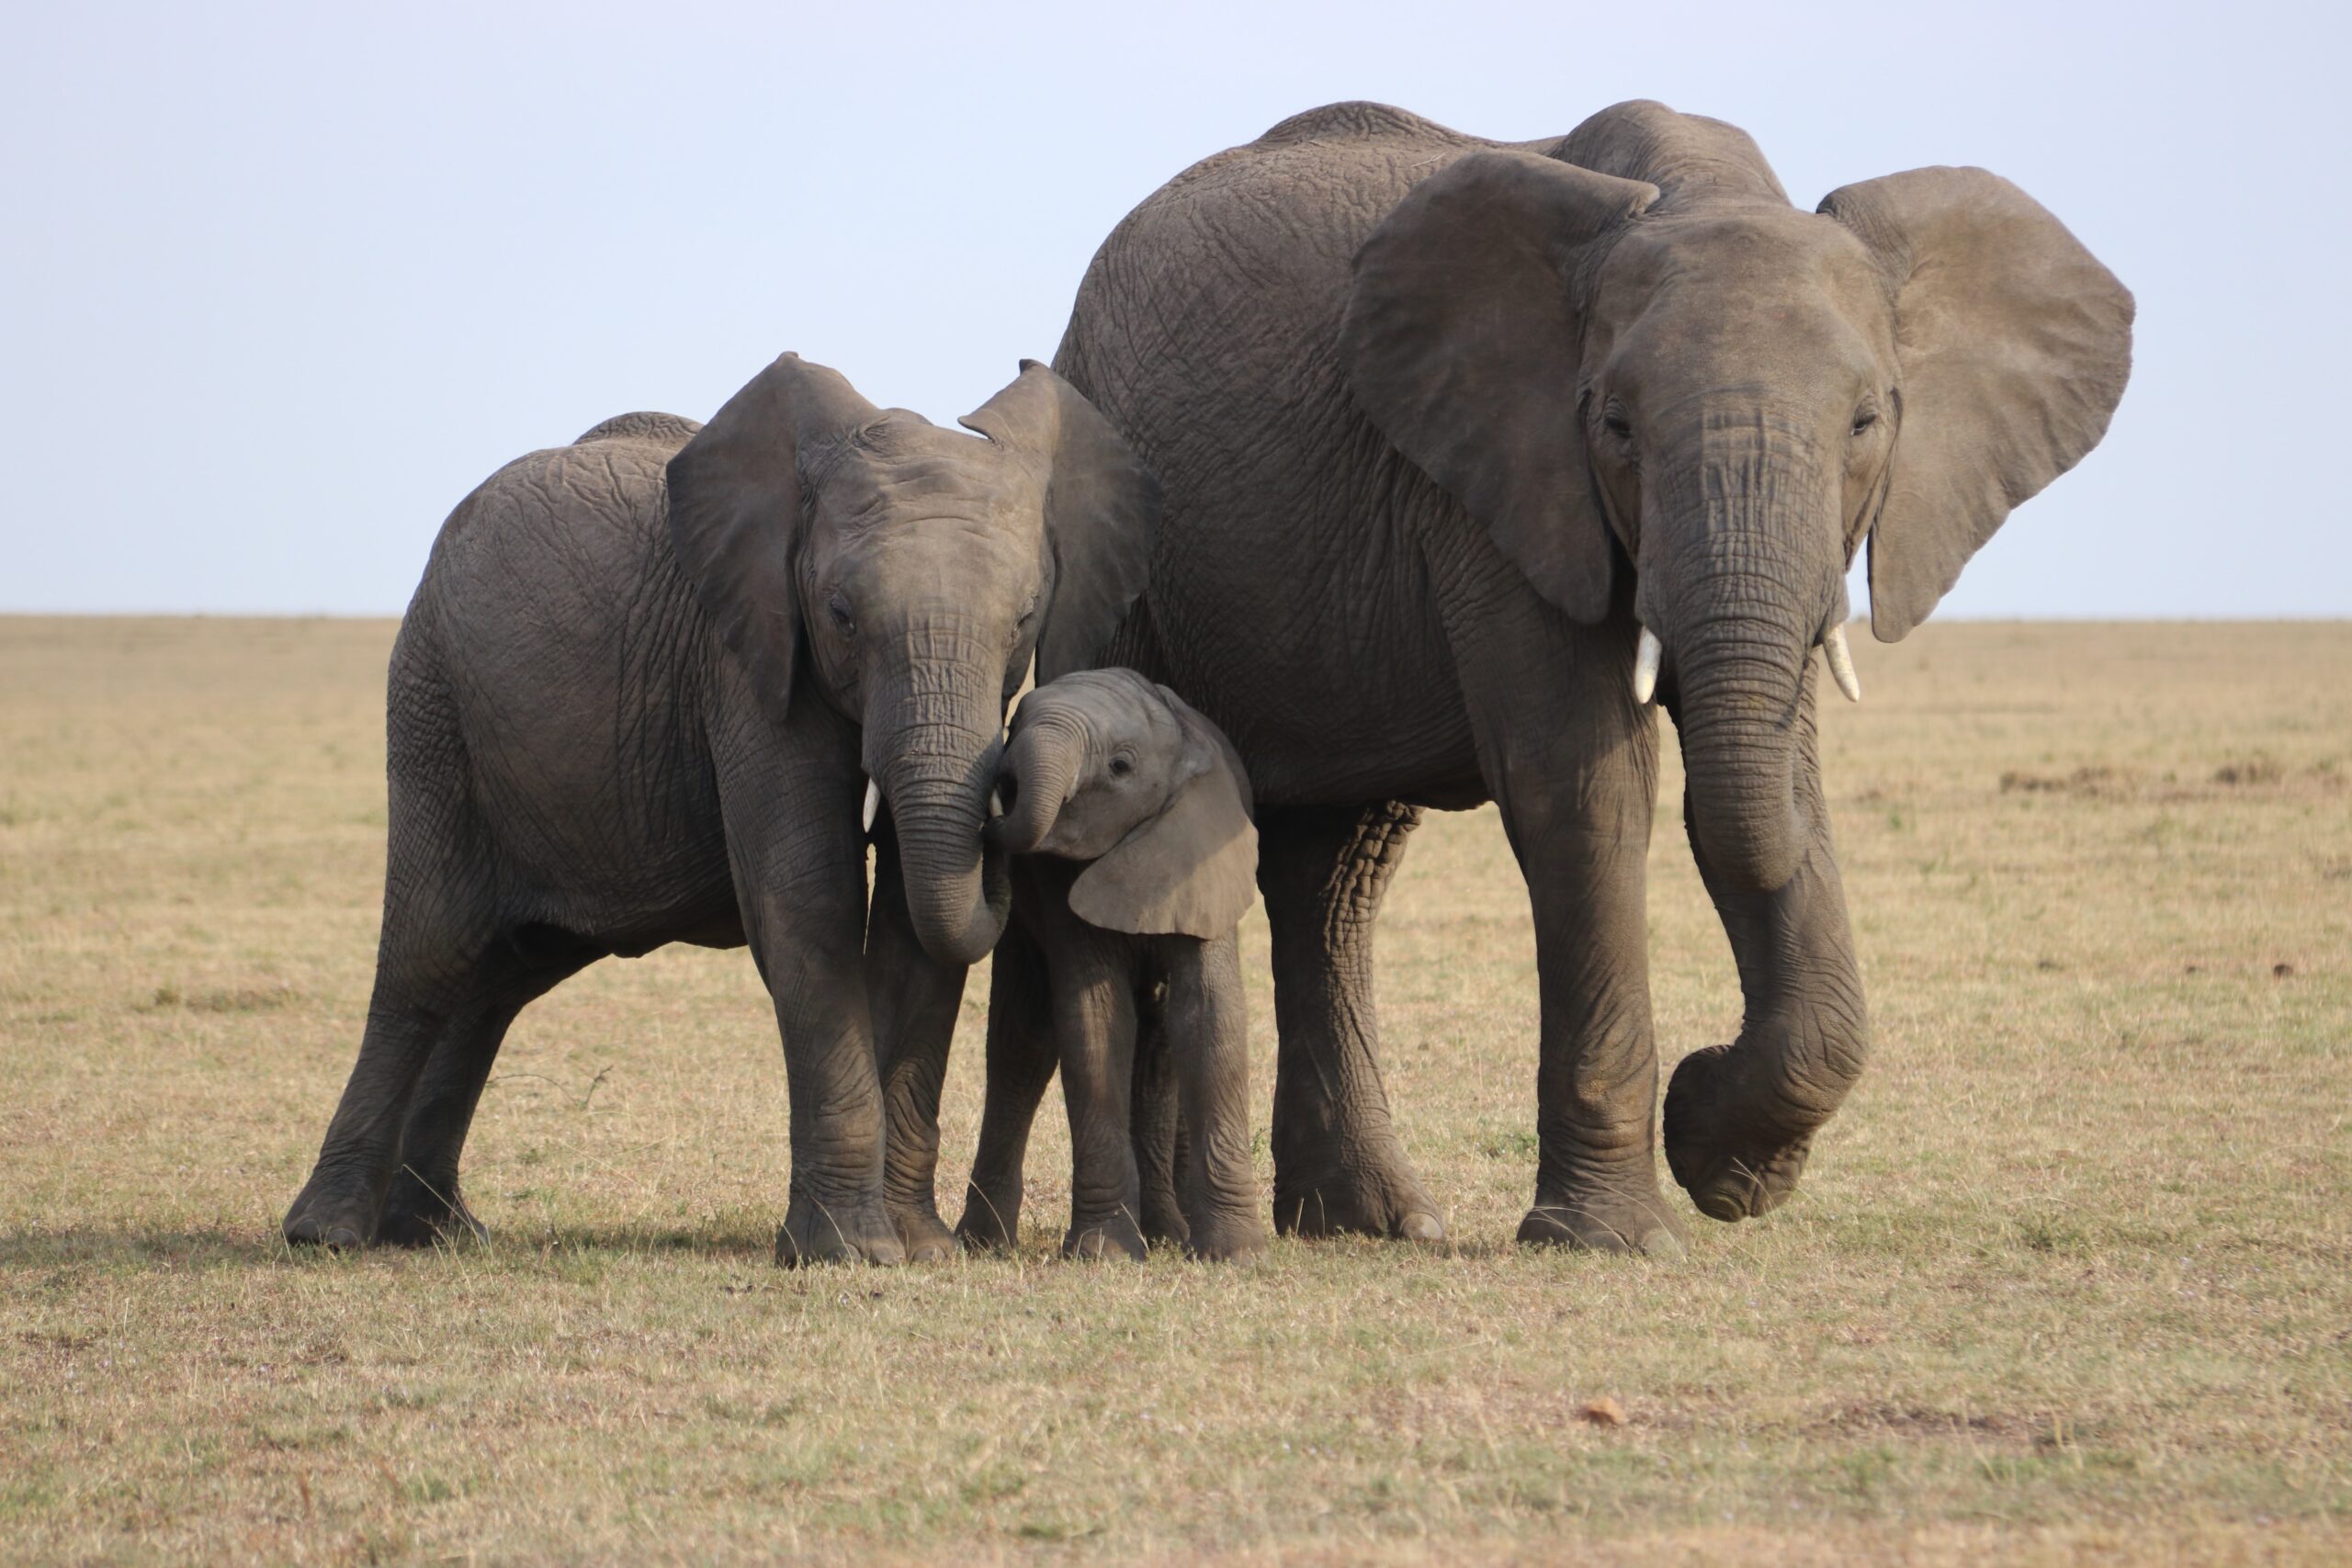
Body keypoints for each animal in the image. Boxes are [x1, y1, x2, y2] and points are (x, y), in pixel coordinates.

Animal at [280, 352, 1158, 1265]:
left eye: (1024, 619)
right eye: (842, 617)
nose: (1010, 793)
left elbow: (913, 926)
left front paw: (920, 1249)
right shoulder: (745, 663)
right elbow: (811, 897)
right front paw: (849, 1251)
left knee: (499, 977)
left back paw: (437, 1231)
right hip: (433, 703)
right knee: (431, 954)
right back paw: (329, 1233)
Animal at [951, 669, 1267, 1262]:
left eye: (1120, 766)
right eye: (1015, 722)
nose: (999, 787)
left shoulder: (1202, 857)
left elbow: (1209, 1017)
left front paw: (1235, 1254)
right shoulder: (1055, 883)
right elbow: (1095, 1022)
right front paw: (1103, 1254)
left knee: (1158, 1048)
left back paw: (1168, 1234)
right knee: (1021, 1043)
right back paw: (983, 1244)